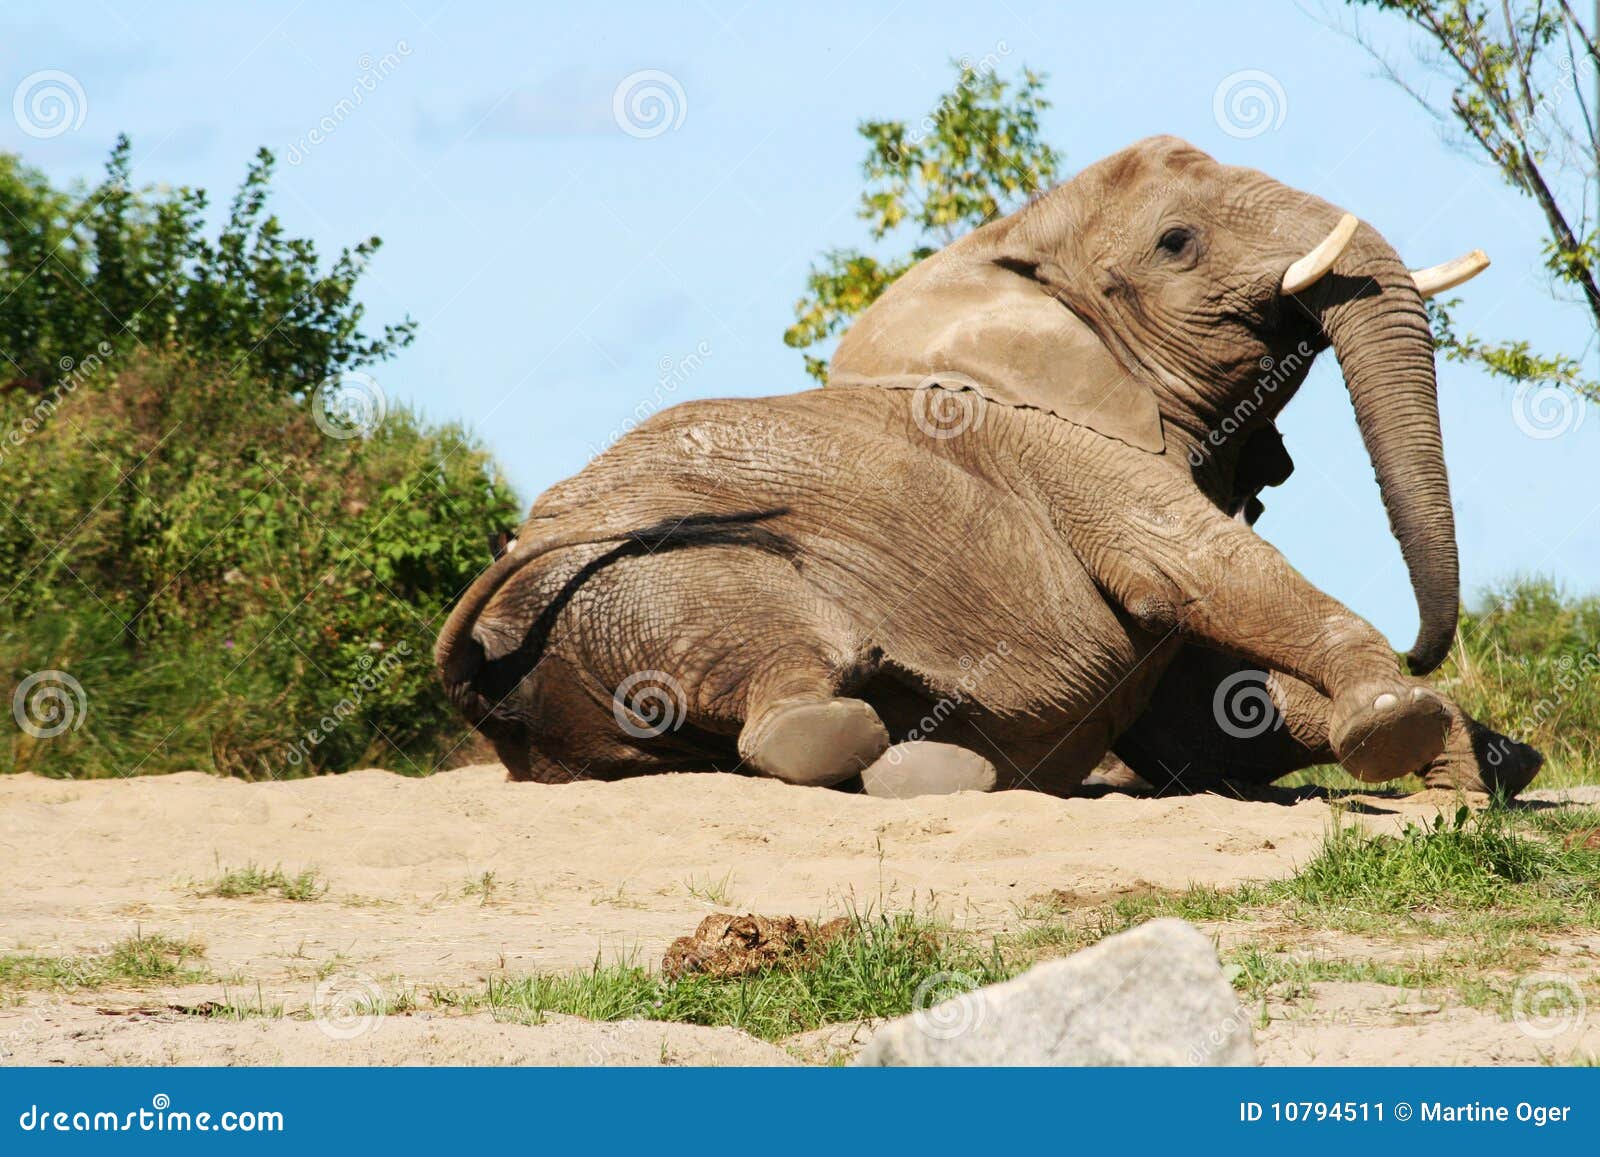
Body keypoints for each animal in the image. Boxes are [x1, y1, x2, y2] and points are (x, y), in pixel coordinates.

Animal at [436, 135, 1539, 798]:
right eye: (1177, 242)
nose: (1423, 647)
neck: (1011, 237)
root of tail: (483, 673)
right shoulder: (1059, 445)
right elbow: (1200, 571)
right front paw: (1403, 724)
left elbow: (1210, 717)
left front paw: (1481, 773)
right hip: (638, 580)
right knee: (787, 665)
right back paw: (905, 762)